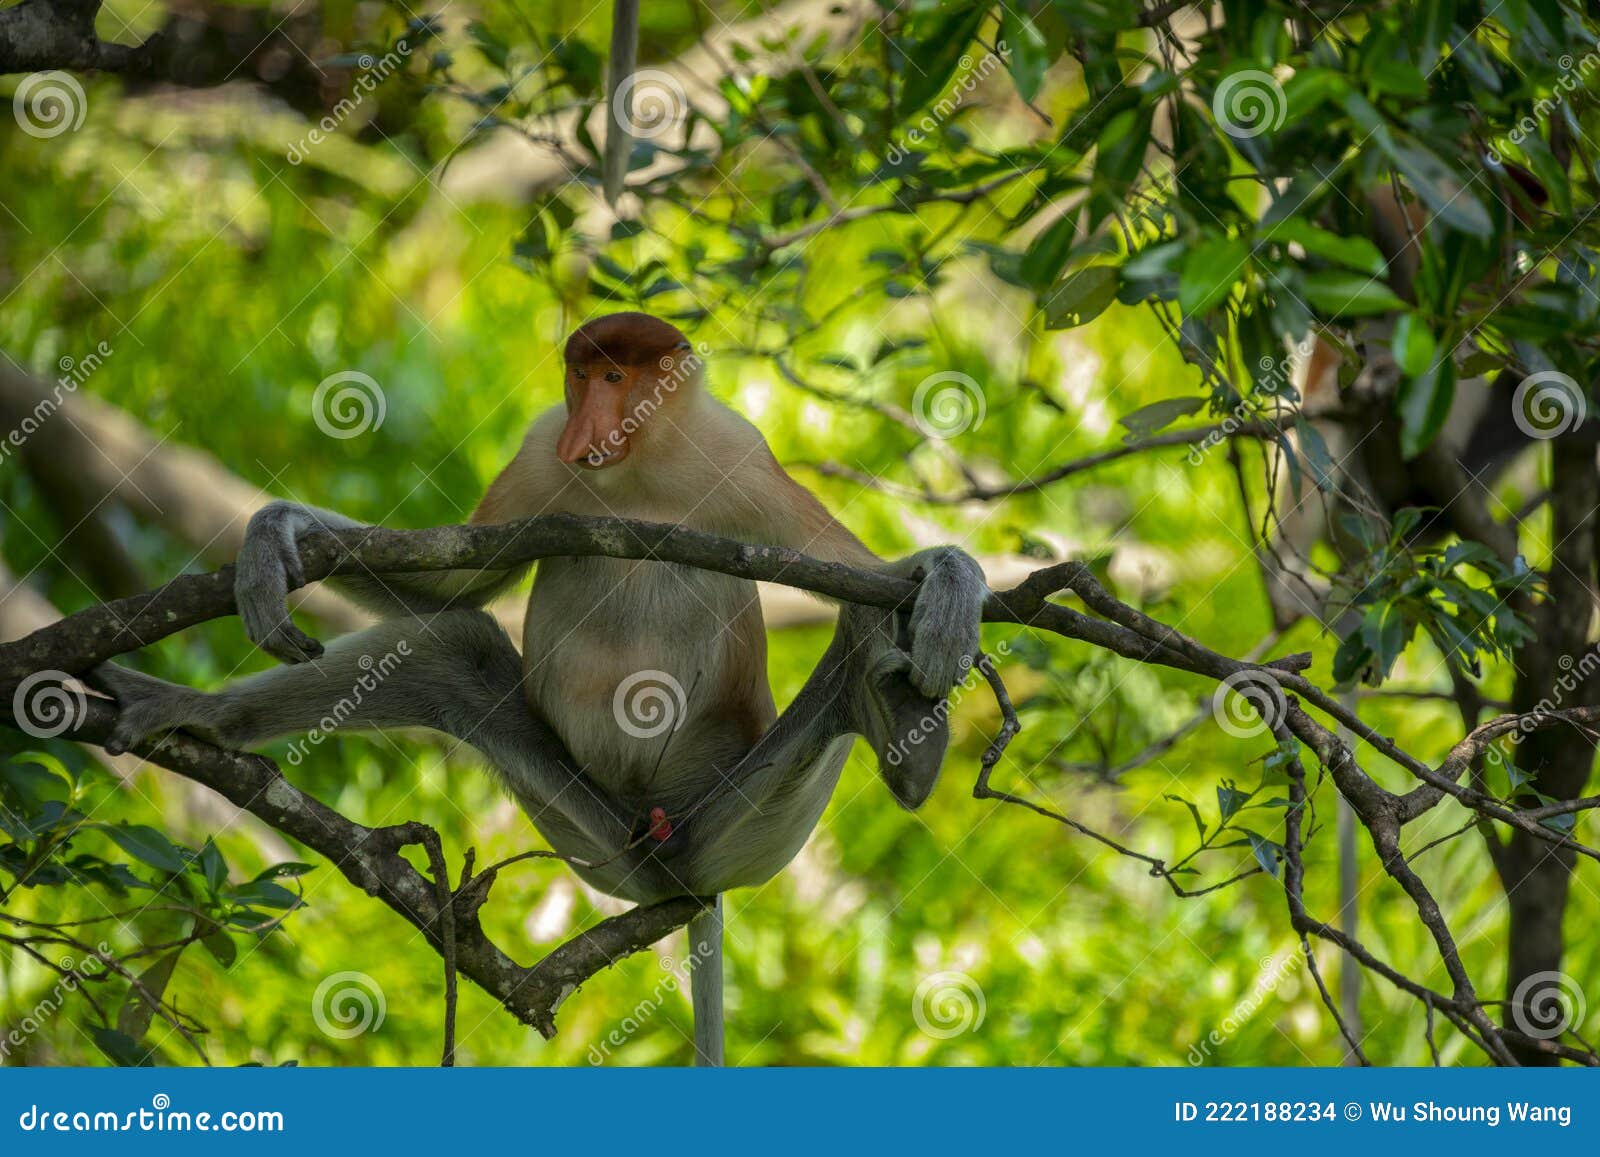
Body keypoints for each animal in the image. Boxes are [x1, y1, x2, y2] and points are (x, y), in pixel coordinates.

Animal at [94, 312, 988, 1066]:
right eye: (579, 374)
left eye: (618, 377)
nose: (585, 432)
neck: (640, 475)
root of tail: (668, 862)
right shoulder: (536, 453)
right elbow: (457, 581)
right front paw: (276, 534)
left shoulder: (742, 457)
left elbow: (852, 570)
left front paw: (950, 580)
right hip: (591, 833)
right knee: (451, 648)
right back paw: (200, 715)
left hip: (742, 825)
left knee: (858, 622)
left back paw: (903, 731)